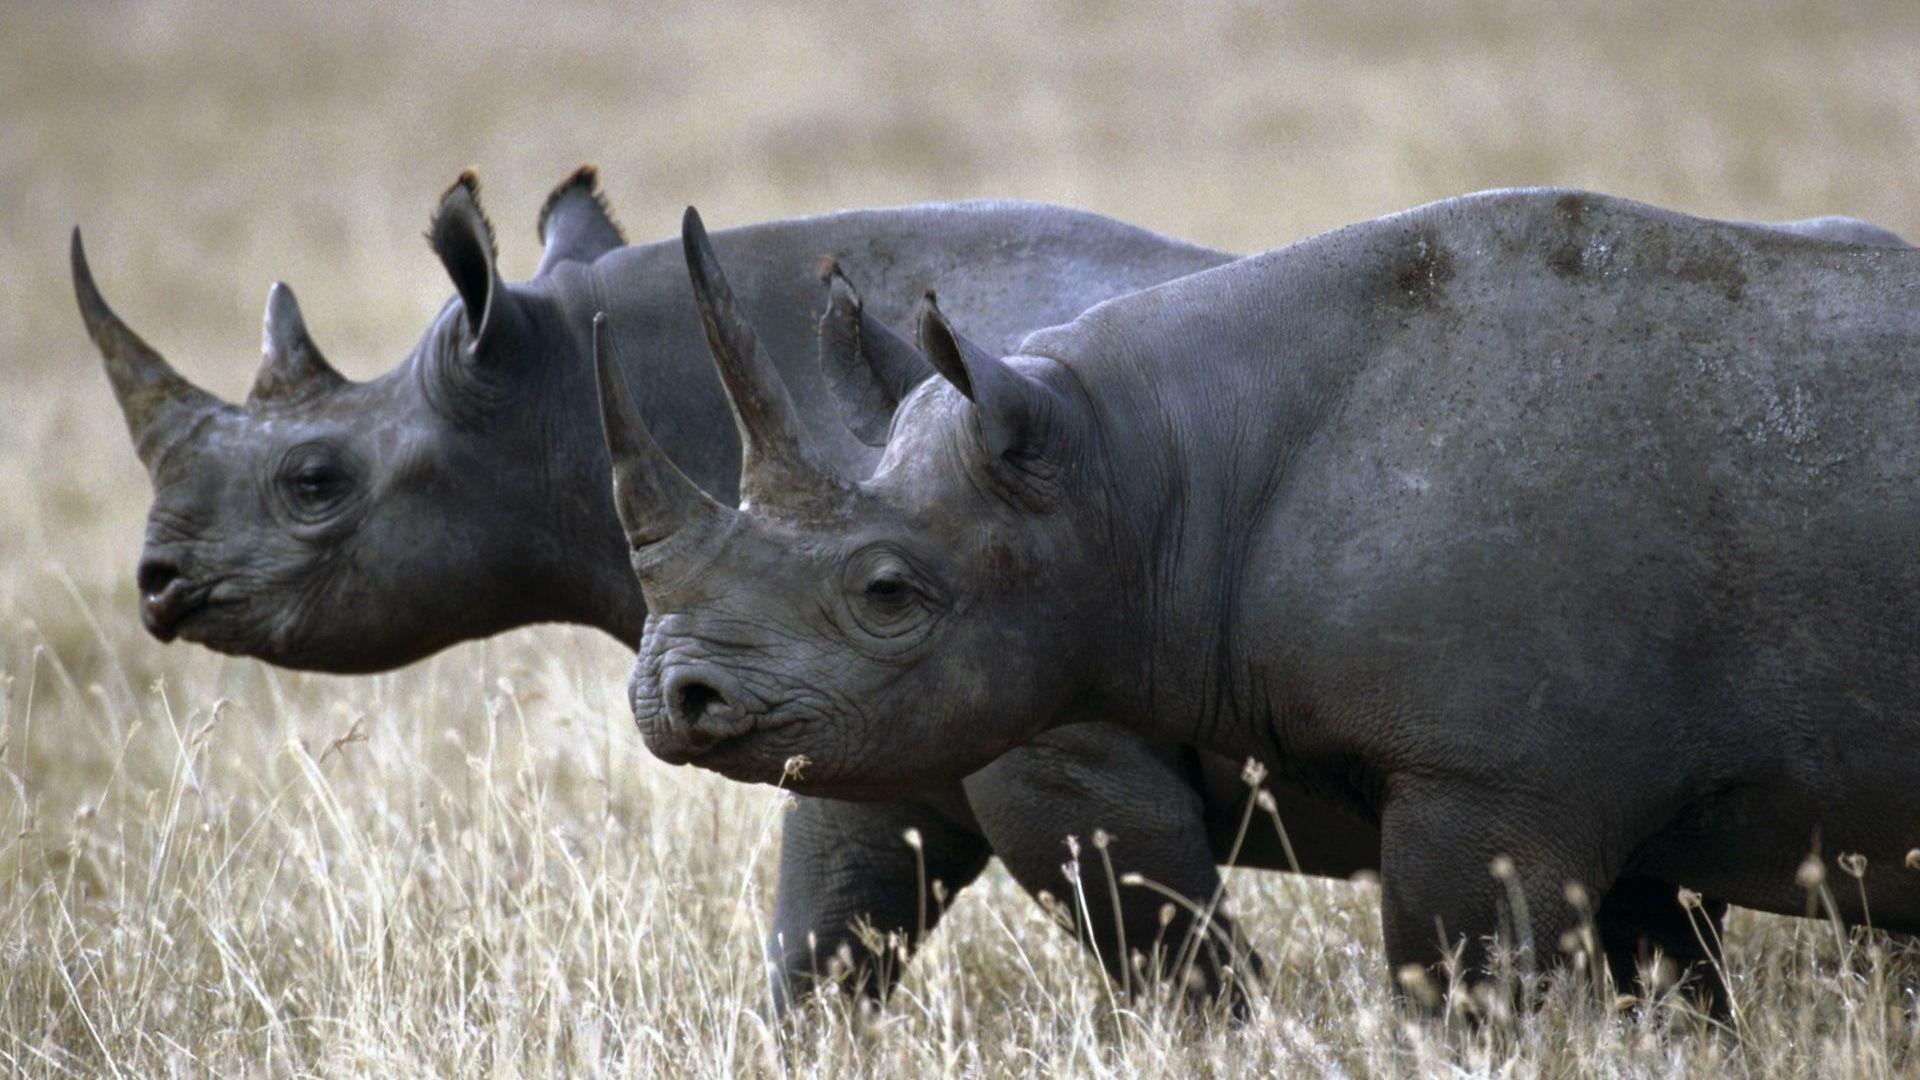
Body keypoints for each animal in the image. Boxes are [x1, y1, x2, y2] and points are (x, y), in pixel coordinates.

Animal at [600, 189, 1920, 1010]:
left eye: (886, 594)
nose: (673, 695)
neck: (1141, 472)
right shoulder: (1617, 796)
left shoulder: (1497, 782)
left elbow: (1464, 994)